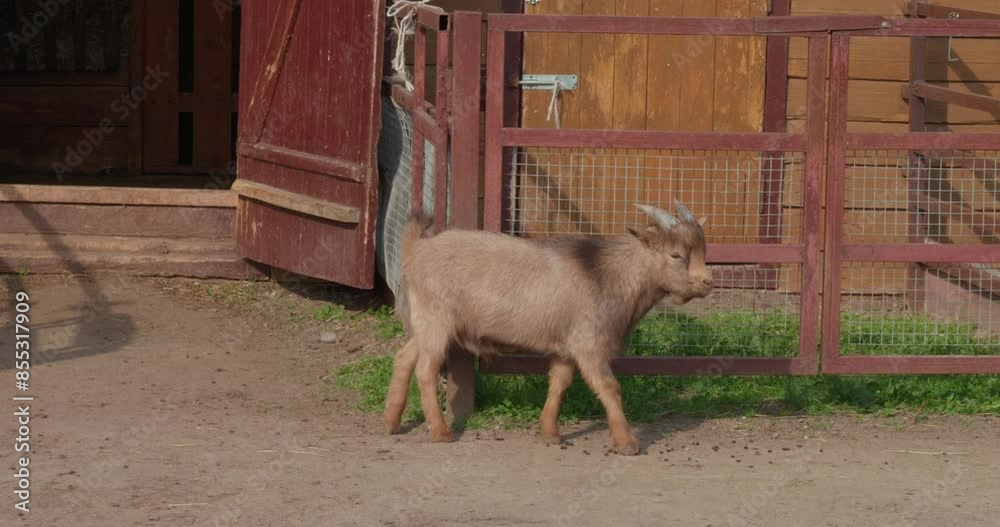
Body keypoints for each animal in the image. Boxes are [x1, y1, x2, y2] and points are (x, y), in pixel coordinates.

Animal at [383, 202, 712, 455]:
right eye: (676, 254)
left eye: (701, 250)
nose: (707, 282)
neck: (605, 274)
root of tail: (415, 248)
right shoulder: (589, 343)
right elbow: (609, 387)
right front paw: (626, 442)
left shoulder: (566, 347)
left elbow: (560, 383)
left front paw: (550, 432)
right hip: (437, 320)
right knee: (425, 369)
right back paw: (440, 431)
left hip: (427, 323)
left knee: (404, 357)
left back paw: (392, 421)